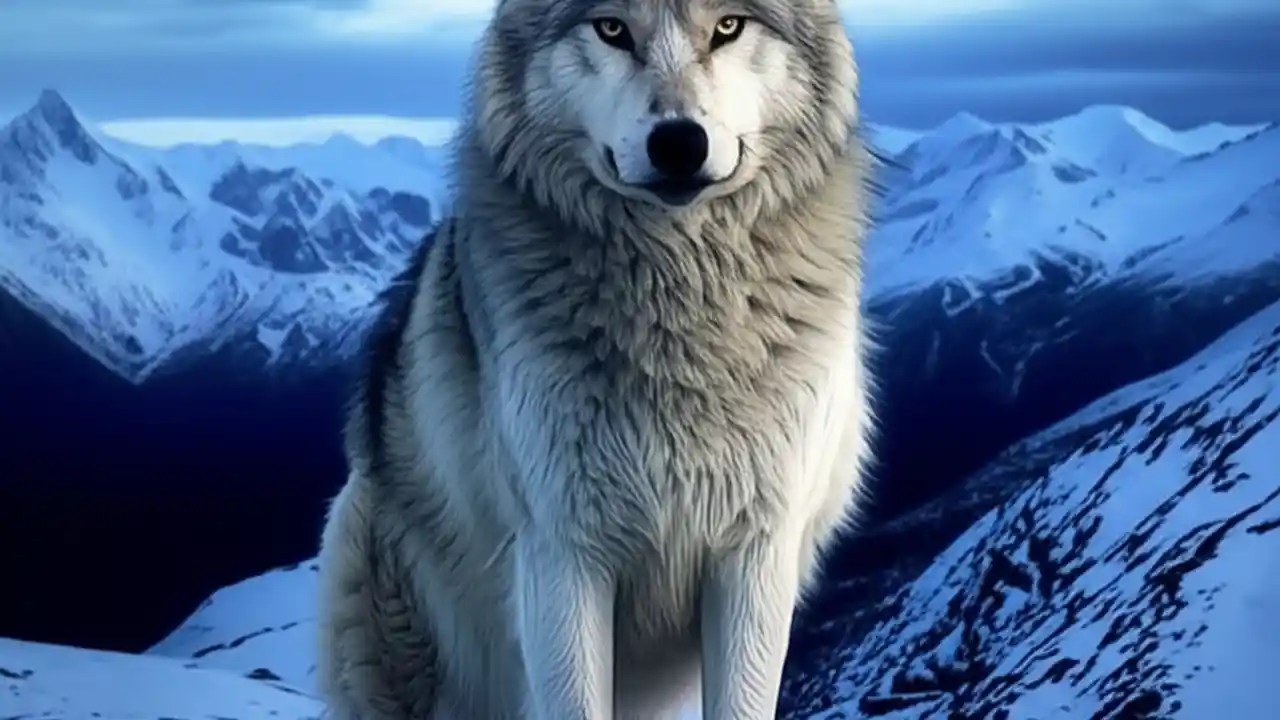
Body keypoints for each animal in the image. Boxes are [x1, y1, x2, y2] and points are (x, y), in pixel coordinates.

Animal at [316, 0, 875, 718]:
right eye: (611, 29)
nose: (679, 142)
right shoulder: (563, 555)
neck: (678, 318)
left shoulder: (753, 555)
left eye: (728, 27)